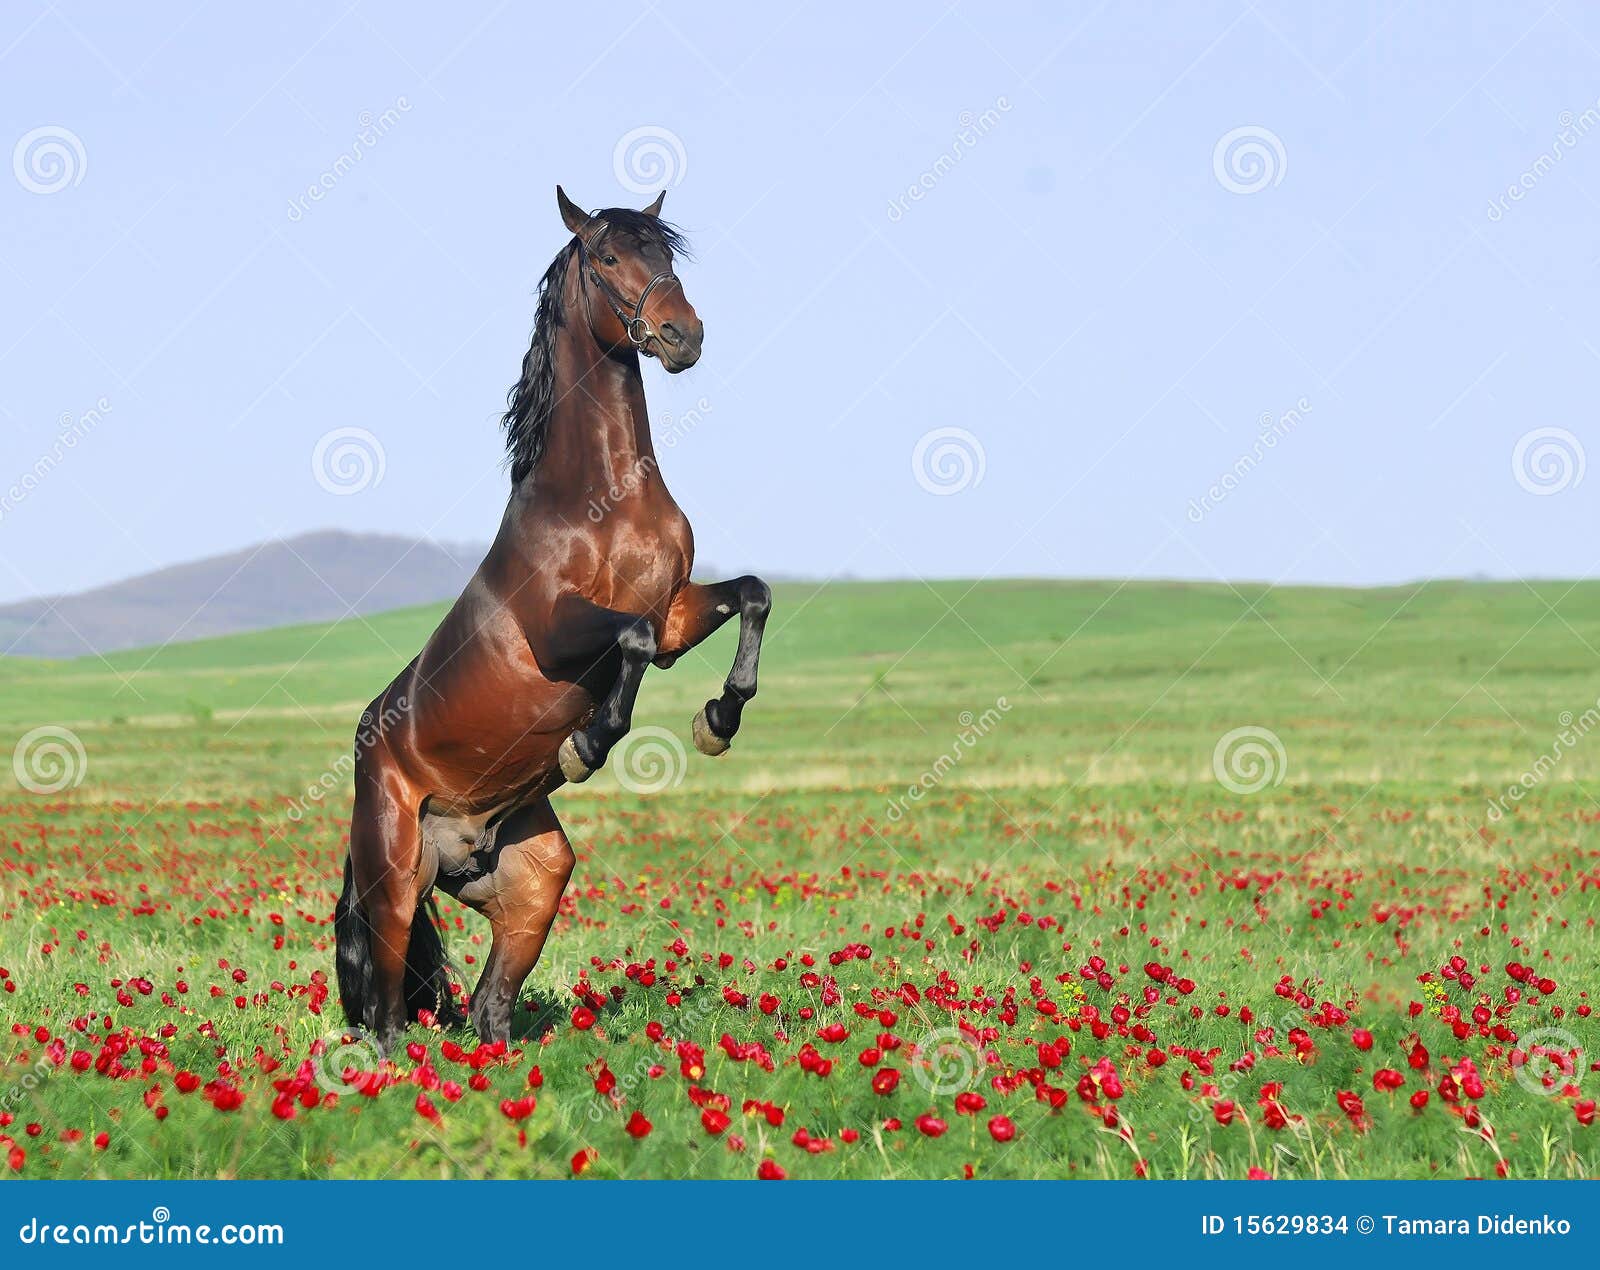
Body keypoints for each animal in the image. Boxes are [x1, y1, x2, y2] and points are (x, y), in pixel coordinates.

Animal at [333, 186, 771, 1051]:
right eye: (607, 257)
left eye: (667, 253)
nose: (684, 335)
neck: (603, 500)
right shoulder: (564, 630)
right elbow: (630, 642)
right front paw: (587, 745)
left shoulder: (676, 609)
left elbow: (752, 593)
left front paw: (719, 718)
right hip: (393, 884)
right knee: (391, 1017)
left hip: (531, 879)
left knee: (487, 1008)